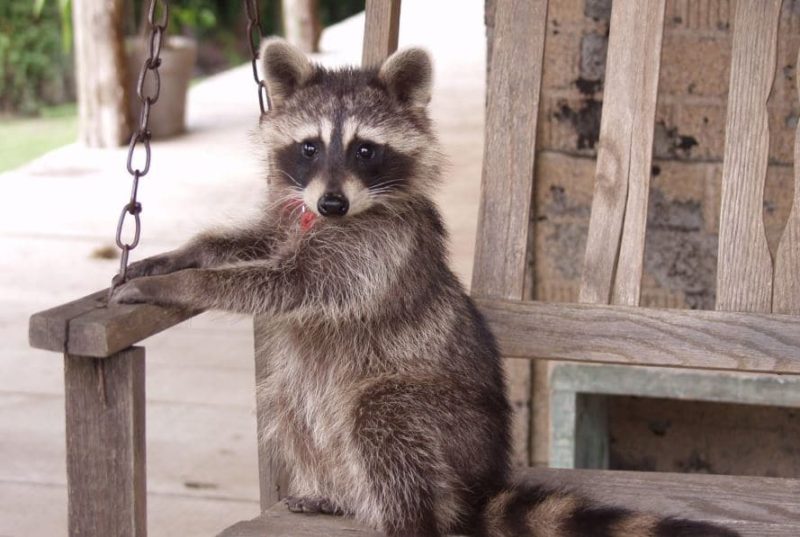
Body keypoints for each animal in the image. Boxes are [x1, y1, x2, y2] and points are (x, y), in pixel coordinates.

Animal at [112, 39, 739, 537]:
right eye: (310, 146)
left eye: (364, 149)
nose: (331, 203)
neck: (335, 216)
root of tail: (481, 484)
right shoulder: (295, 213)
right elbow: (256, 244)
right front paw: (182, 257)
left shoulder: (375, 251)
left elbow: (286, 285)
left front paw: (188, 285)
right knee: (287, 397)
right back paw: (337, 494)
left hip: (441, 420)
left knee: (382, 419)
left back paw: (406, 518)